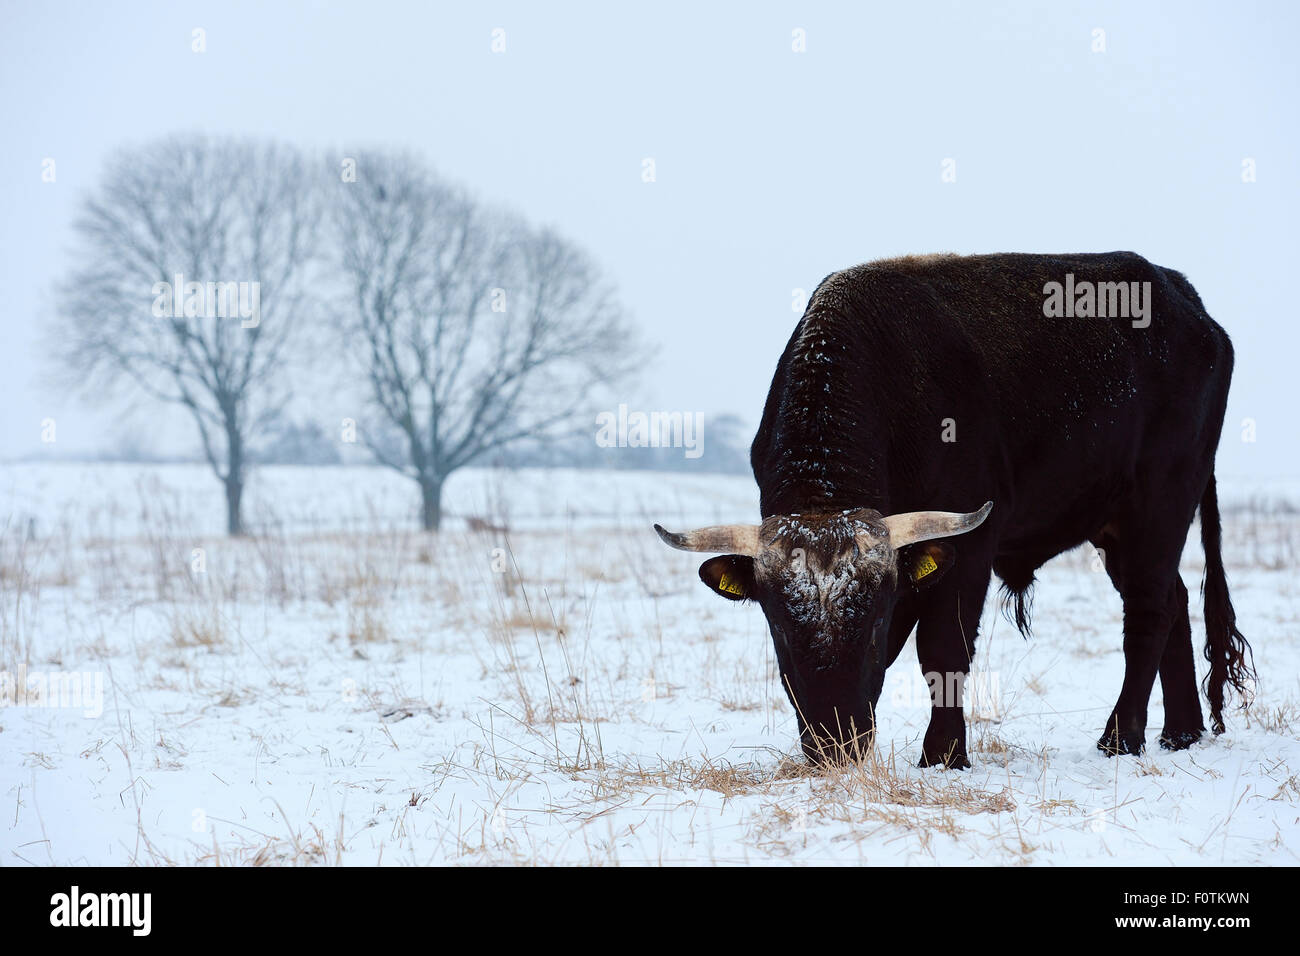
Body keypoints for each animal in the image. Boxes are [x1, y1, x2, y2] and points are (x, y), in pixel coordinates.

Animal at [655, 252, 1254, 768]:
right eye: (778, 627)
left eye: (871, 624)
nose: (834, 746)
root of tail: (1185, 299)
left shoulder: (969, 544)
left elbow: (943, 649)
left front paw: (943, 755)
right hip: (1118, 529)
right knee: (1175, 601)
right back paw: (1181, 732)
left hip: (1160, 503)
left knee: (1149, 612)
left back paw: (1121, 739)